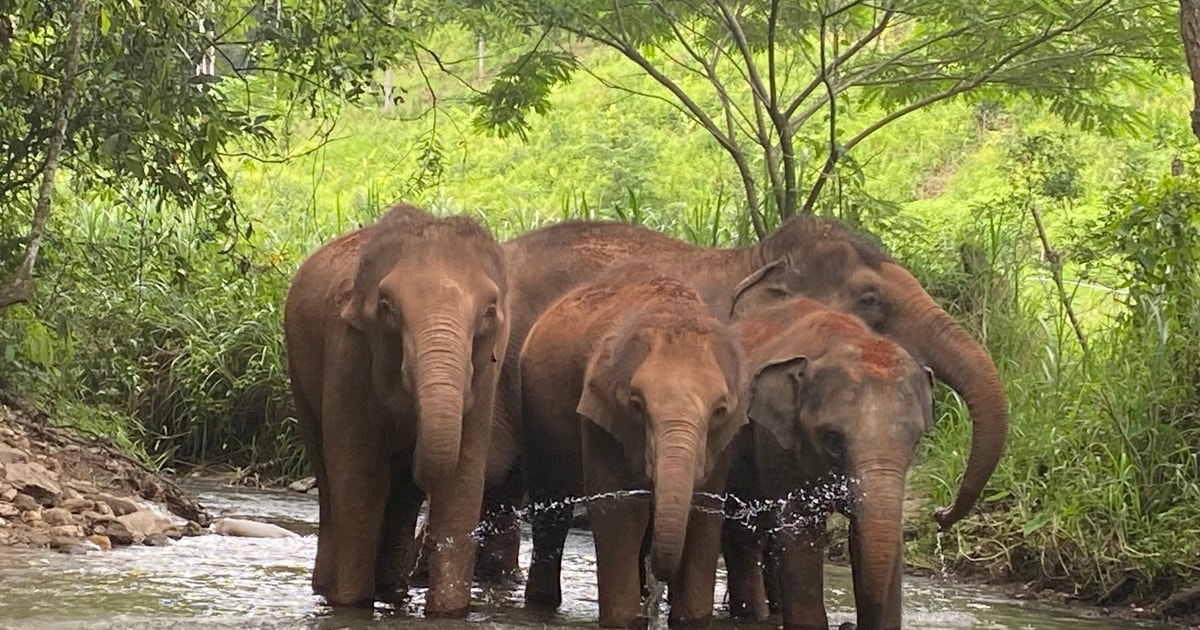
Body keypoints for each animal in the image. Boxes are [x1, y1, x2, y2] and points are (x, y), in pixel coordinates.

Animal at [282, 203, 510, 615]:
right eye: (387, 307)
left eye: (489, 310)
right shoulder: (348, 352)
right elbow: (360, 475)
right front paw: (351, 604)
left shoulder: (487, 376)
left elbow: (464, 480)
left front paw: (448, 613)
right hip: (298, 374)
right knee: (328, 476)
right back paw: (328, 587)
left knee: (402, 495)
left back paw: (391, 591)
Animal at [519, 264, 747, 629]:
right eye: (637, 405)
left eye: (719, 410)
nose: (661, 584)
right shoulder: (601, 416)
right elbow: (619, 511)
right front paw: (627, 619)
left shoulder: (724, 439)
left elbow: (705, 512)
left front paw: (690, 618)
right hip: (538, 413)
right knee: (552, 510)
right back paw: (542, 603)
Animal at [722, 296, 934, 630]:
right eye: (833, 440)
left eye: (915, 441)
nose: (848, 624)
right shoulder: (775, 441)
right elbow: (801, 532)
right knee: (744, 537)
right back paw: (752, 615)